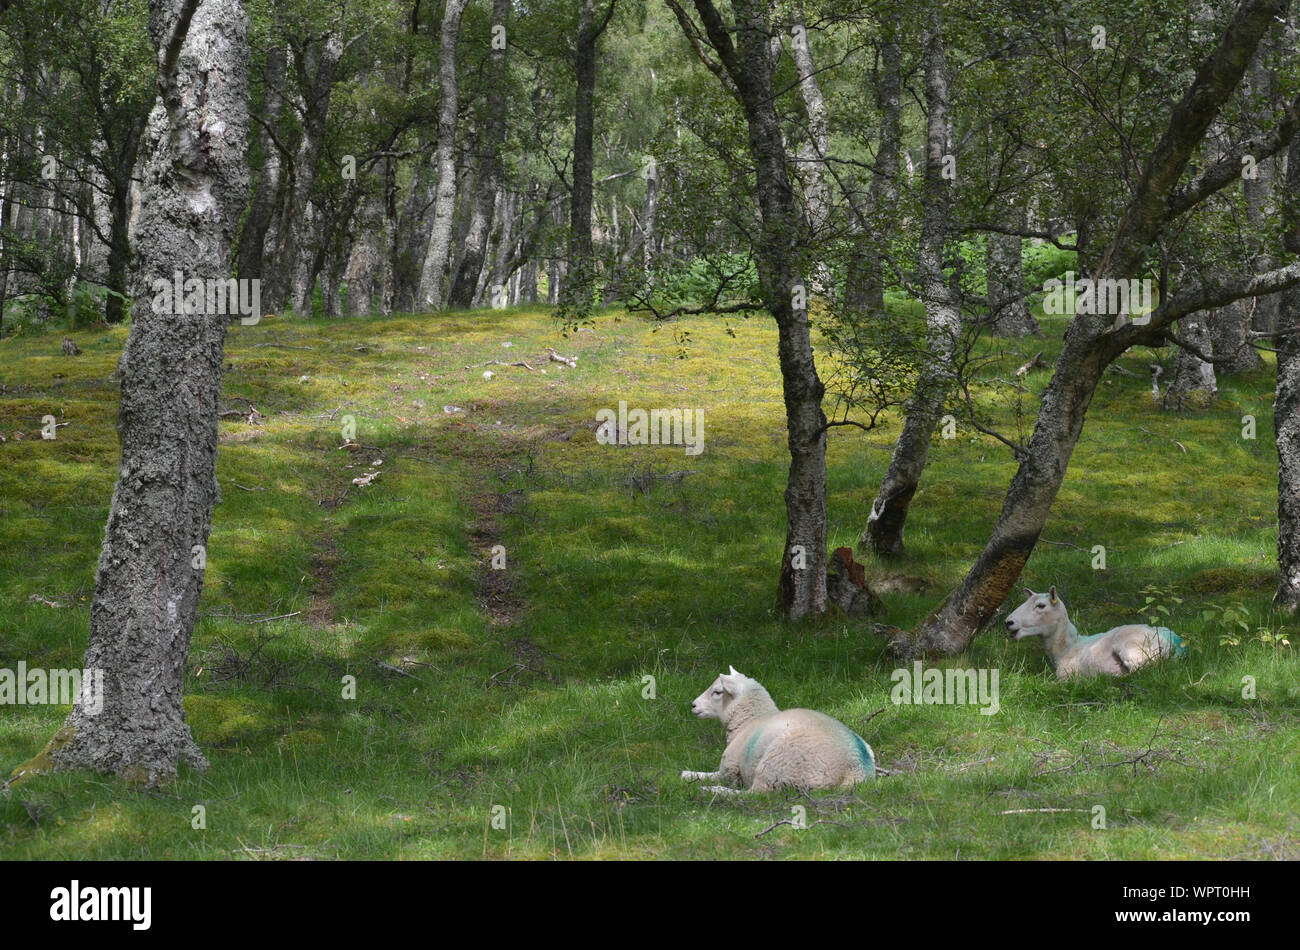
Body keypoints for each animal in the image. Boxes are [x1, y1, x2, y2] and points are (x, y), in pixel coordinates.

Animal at [679, 666, 875, 794]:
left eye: (717, 692)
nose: (693, 705)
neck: (749, 721)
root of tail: (855, 769)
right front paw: (688, 773)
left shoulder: (730, 770)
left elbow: (714, 775)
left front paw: (691, 775)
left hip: (776, 767)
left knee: (753, 794)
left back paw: (713, 790)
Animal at [1005, 586, 1187, 680]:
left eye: (1041, 605)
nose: (1008, 622)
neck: (1066, 648)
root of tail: (1175, 646)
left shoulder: (1065, 674)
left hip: (1134, 648)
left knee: (1142, 671)